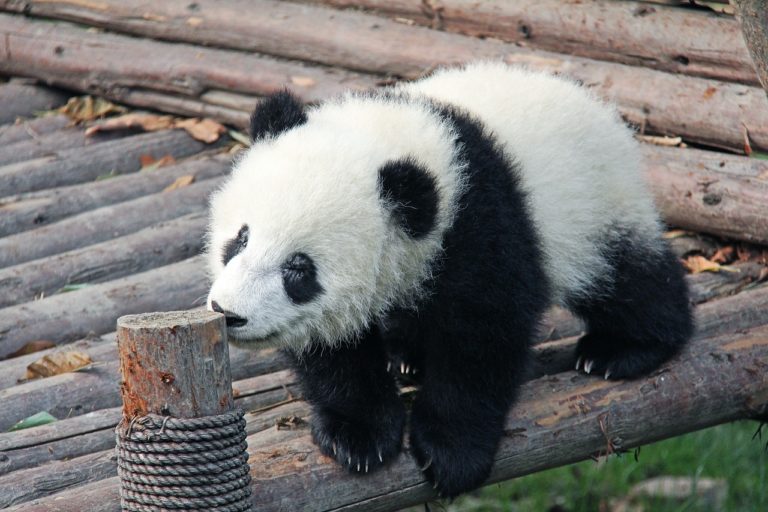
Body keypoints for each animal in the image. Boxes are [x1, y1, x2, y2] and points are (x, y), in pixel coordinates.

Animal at [206, 62, 693, 497]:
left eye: (299, 269)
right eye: (240, 238)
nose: (228, 313)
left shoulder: (479, 223)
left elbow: (482, 337)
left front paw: (451, 453)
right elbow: (335, 349)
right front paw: (358, 435)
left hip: (593, 204)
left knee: (624, 277)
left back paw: (622, 349)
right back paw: (408, 356)